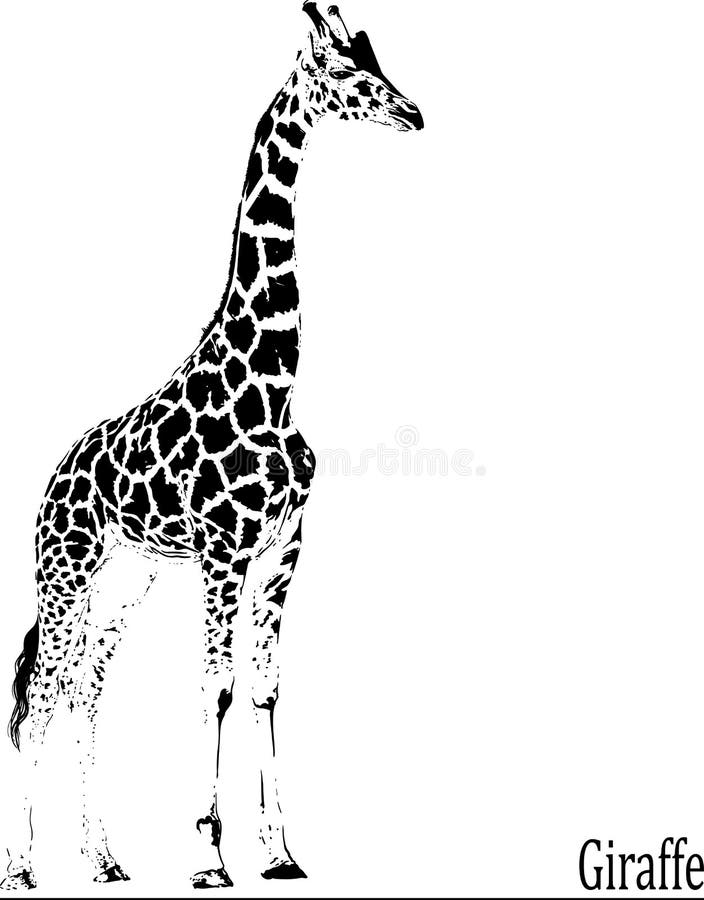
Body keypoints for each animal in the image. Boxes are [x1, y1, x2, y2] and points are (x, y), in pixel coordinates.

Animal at [2, 2, 423, 891]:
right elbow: (214, 686)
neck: (274, 379)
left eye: (379, 59)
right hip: (63, 573)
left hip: (129, 578)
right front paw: (207, 855)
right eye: (345, 72)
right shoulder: (225, 551)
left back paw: (103, 858)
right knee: (42, 696)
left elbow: (262, 688)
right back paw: (22, 866)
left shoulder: (284, 547)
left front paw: (281, 853)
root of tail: (50, 482)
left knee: (87, 688)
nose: (414, 113)